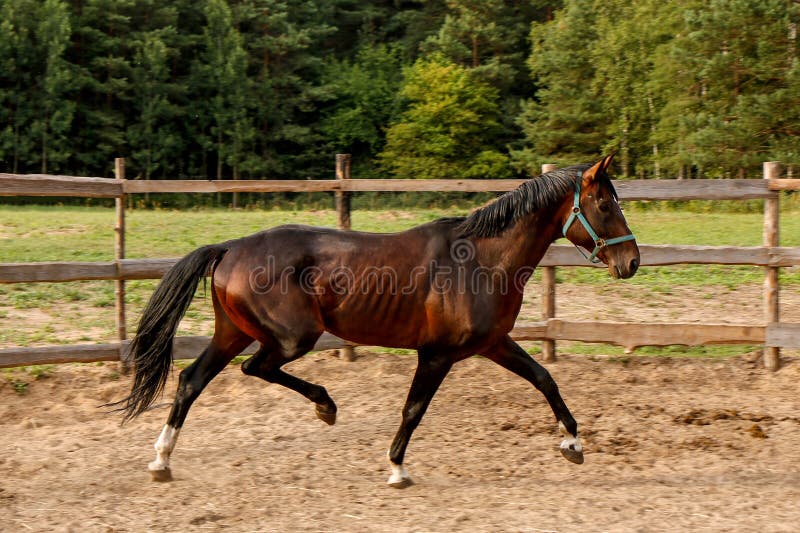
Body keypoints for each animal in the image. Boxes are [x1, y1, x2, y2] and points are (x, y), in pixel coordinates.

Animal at [112, 153, 639, 487]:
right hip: (291, 337)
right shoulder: (437, 354)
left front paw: (573, 444)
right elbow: (413, 409)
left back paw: (161, 461)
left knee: (191, 380)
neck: (482, 260)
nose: (631, 262)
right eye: (605, 204)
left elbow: (544, 378)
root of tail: (229, 248)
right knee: (254, 369)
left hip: (234, 332)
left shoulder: (493, 343)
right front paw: (397, 470)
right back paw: (325, 406)